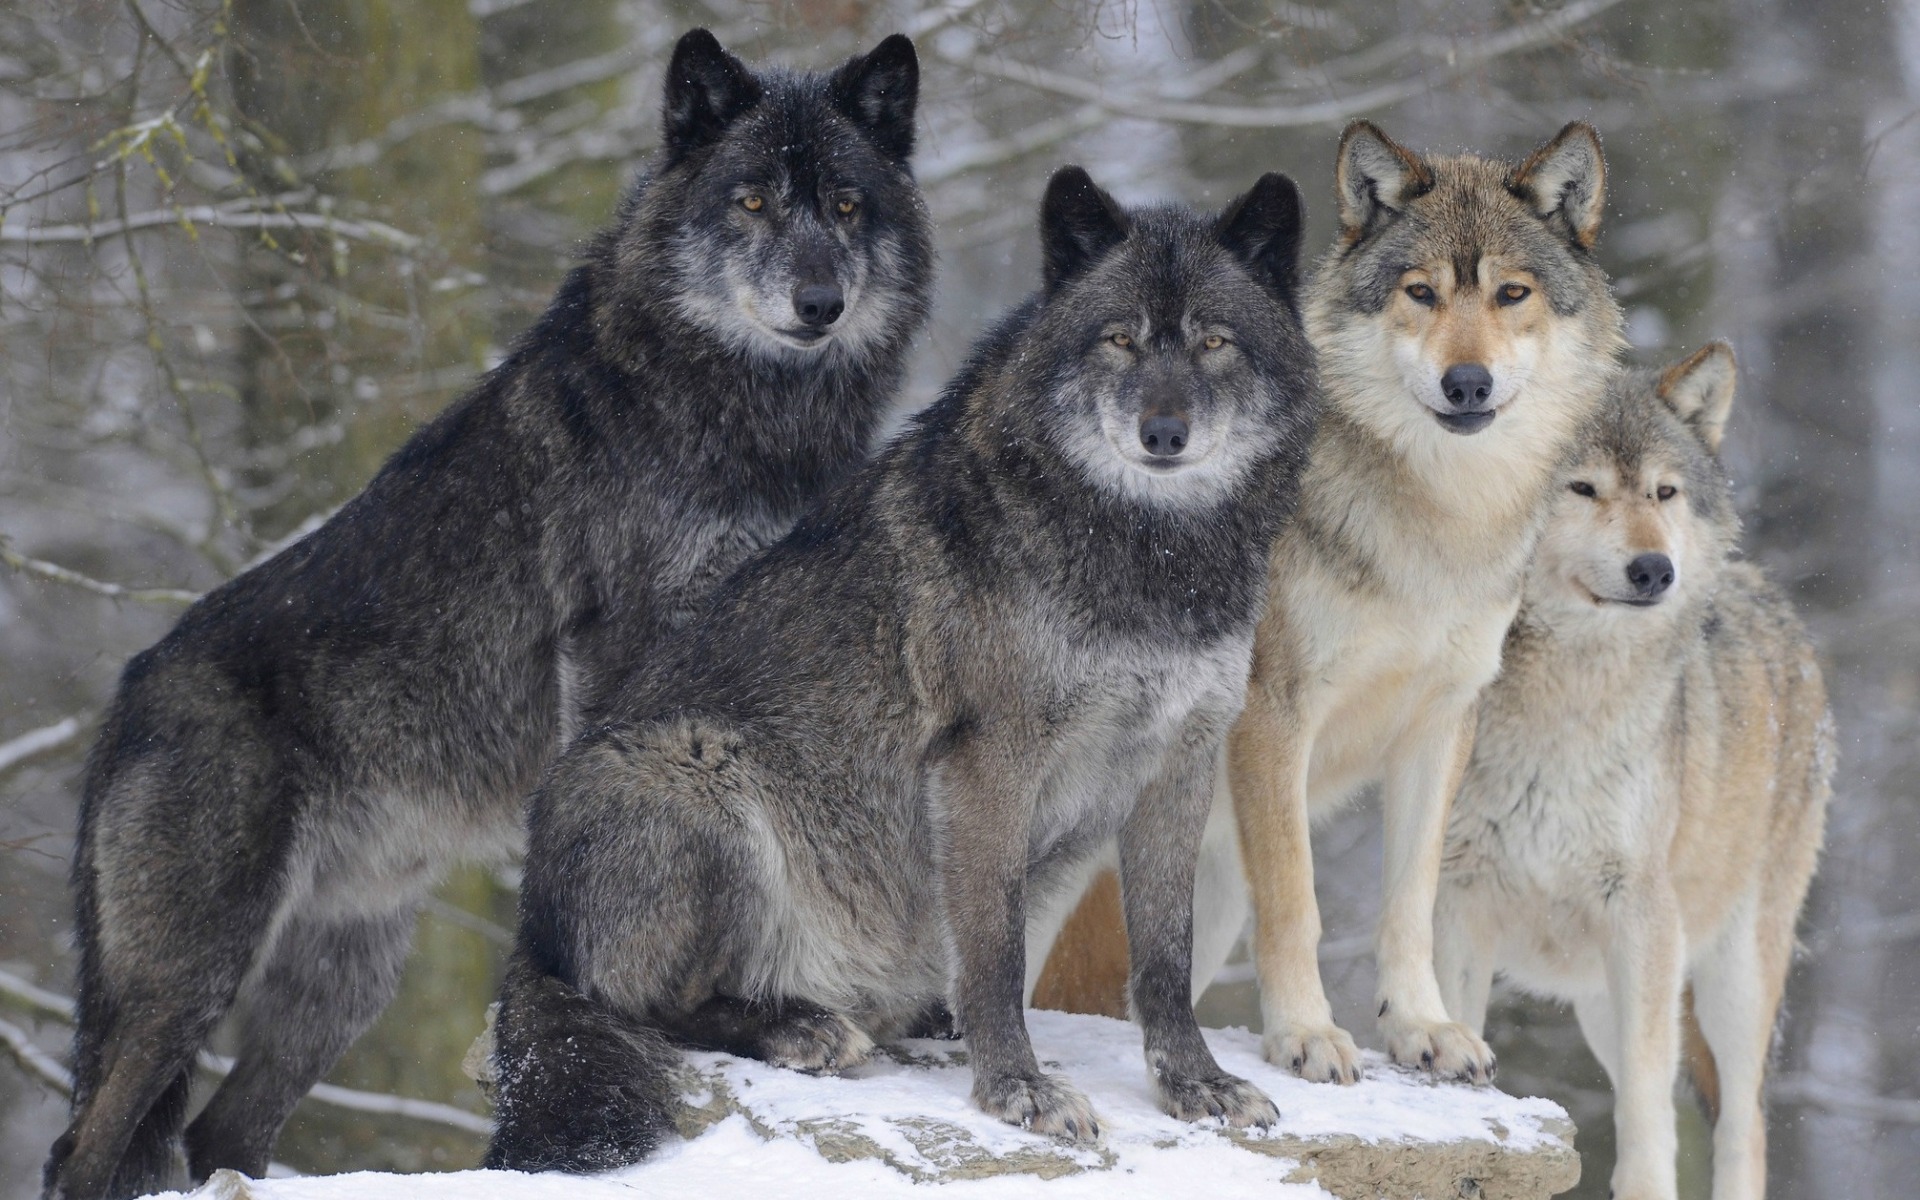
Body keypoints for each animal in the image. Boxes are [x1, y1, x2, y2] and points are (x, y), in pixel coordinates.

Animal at [45, 29, 934, 1200]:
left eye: (843, 205)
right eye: (748, 201)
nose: (819, 300)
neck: (743, 412)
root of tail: (126, 694)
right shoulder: (617, 644)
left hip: (341, 988)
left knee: (216, 1137)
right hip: (189, 978)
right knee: (91, 1145)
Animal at [482, 164, 1320, 1173]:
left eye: (1214, 342)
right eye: (1119, 339)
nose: (1165, 432)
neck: (1151, 561)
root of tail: (531, 938)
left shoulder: (1180, 765)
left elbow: (1165, 956)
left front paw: (1196, 1084)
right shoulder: (987, 761)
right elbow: (995, 951)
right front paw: (1018, 1089)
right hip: (694, 773)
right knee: (643, 1008)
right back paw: (801, 1026)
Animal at [1032, 122, 1627, 1085]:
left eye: (1512, 293)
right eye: (1421, 292)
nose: (1468, 383)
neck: (1434, 524)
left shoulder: (1442, 724)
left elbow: (1410, 903)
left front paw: (1422, 1028)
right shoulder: (1274, 716)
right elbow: (1298, 902)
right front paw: (1306, 1035)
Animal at [1434, 344, 1832, 1200]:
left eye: (1664, 492)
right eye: (1582, 488)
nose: (1654, 569)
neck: (1564, 711)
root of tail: (1775, 600)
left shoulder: (1642, 916)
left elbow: (1649, 1120)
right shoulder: (1457, 902)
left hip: (1729, 980)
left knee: (1742, 1129)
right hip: (1602, 1000)